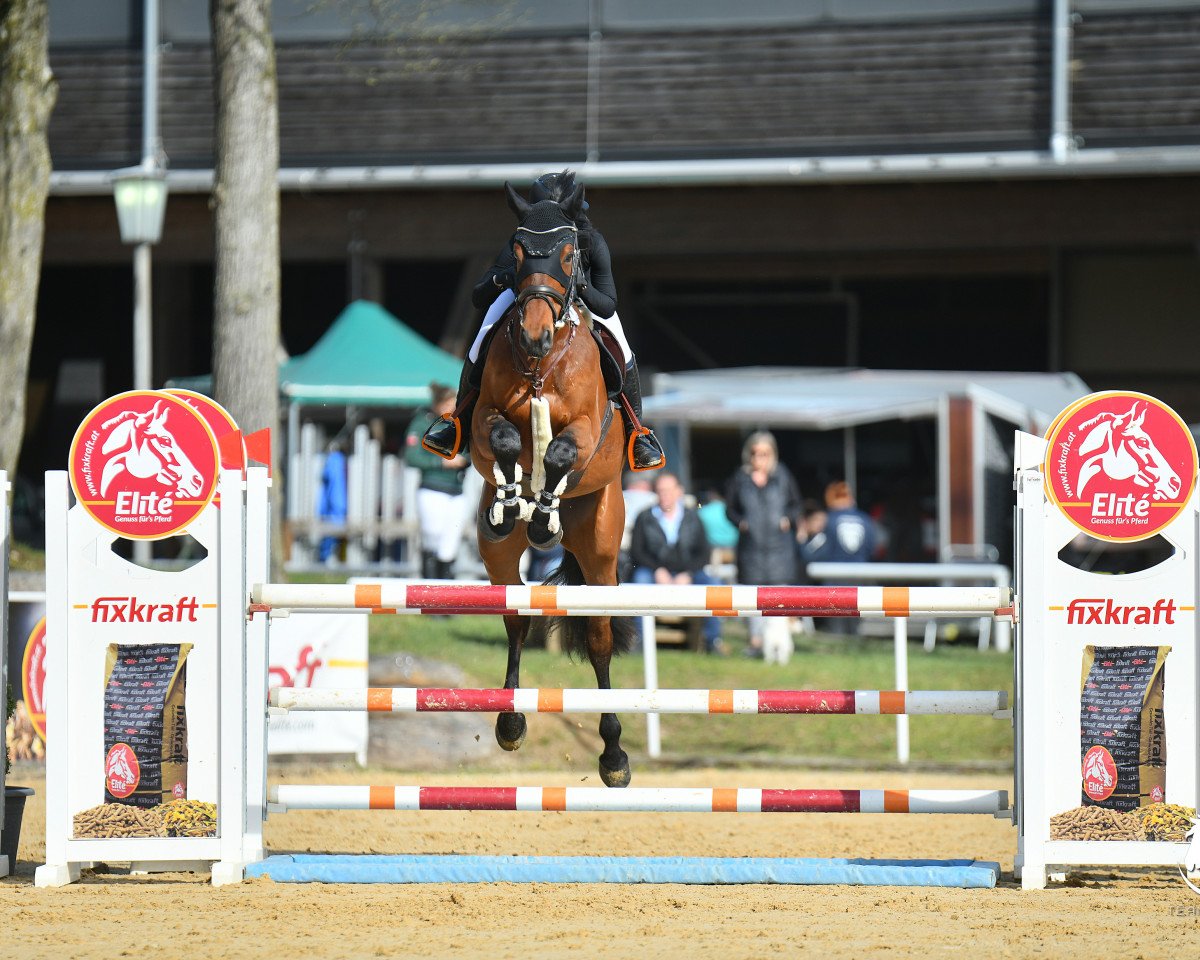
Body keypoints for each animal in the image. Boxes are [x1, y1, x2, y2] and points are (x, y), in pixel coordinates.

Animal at [470, 181, 637, 788]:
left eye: (570, 256)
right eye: (516, 253)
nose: (535, 334)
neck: (541, 367)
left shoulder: (588, 430)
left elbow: (561, 451)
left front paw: (544, 516)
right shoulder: (482, 419)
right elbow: (504, 440)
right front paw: (515, 499)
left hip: (602, 551)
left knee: (600, 639)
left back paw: (614, 756)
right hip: (495, 559)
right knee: (515, 620)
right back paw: (510, 723)